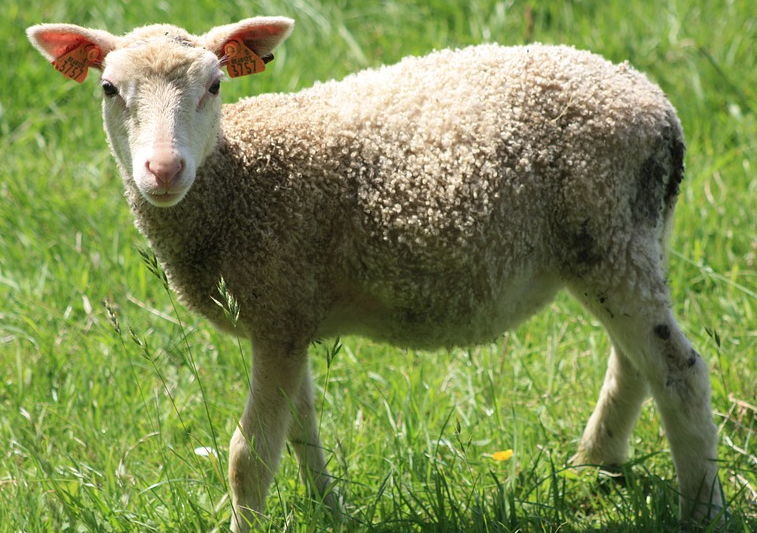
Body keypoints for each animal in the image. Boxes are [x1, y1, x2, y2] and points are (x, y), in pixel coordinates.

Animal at [27, 16, 725, 531]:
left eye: (216, 85)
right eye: (109, 90)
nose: (164, 170)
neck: (236, 181)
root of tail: (658, 106)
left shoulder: (276, 306)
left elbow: (250, 456)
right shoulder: (289, 311)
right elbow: (302, 431)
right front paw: (330, 513)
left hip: (609, 232)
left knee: (678, 371)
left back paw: (701, 509)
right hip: (623, 241)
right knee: (632, 361)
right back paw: (594, 468)